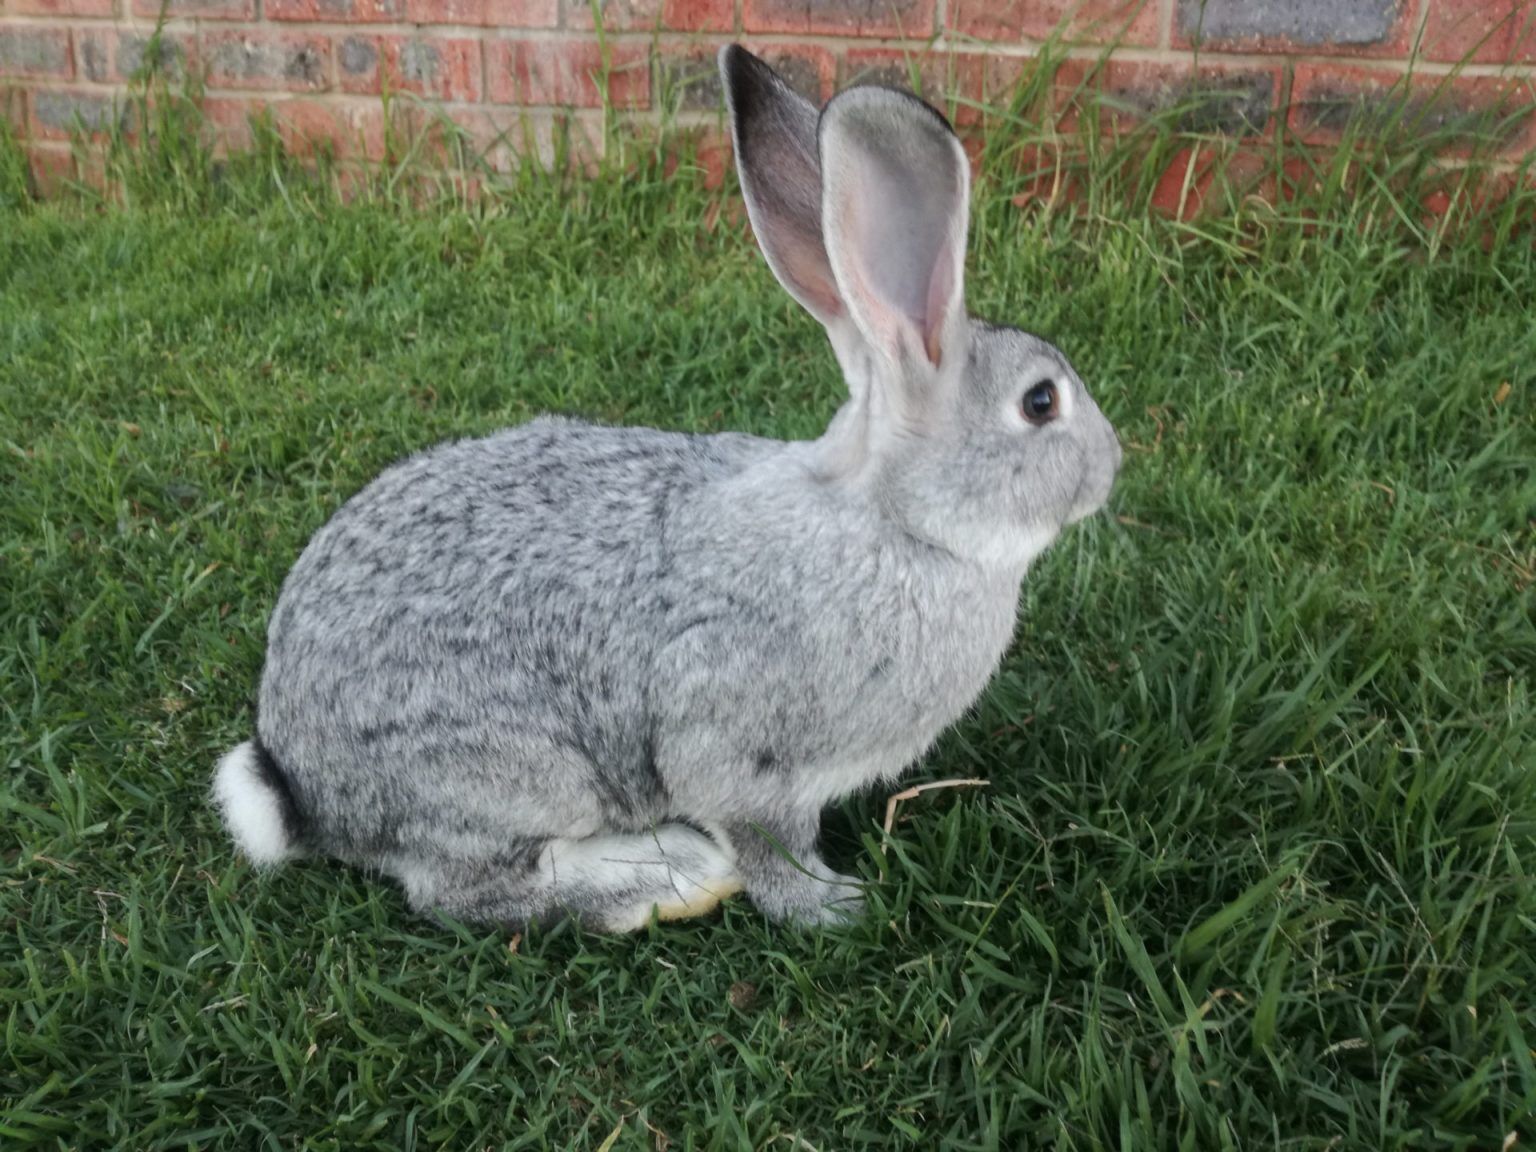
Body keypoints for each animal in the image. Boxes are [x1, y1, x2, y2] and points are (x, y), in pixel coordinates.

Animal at [211, 45, 1122, 932]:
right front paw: (835, 907)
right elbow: (767, 842)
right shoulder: (735, 744)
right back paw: (666, 877)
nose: (1112, 463)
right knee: (466, 893)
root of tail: (299, 785)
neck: (896, 524)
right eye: (1041, 402)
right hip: (511, 774)